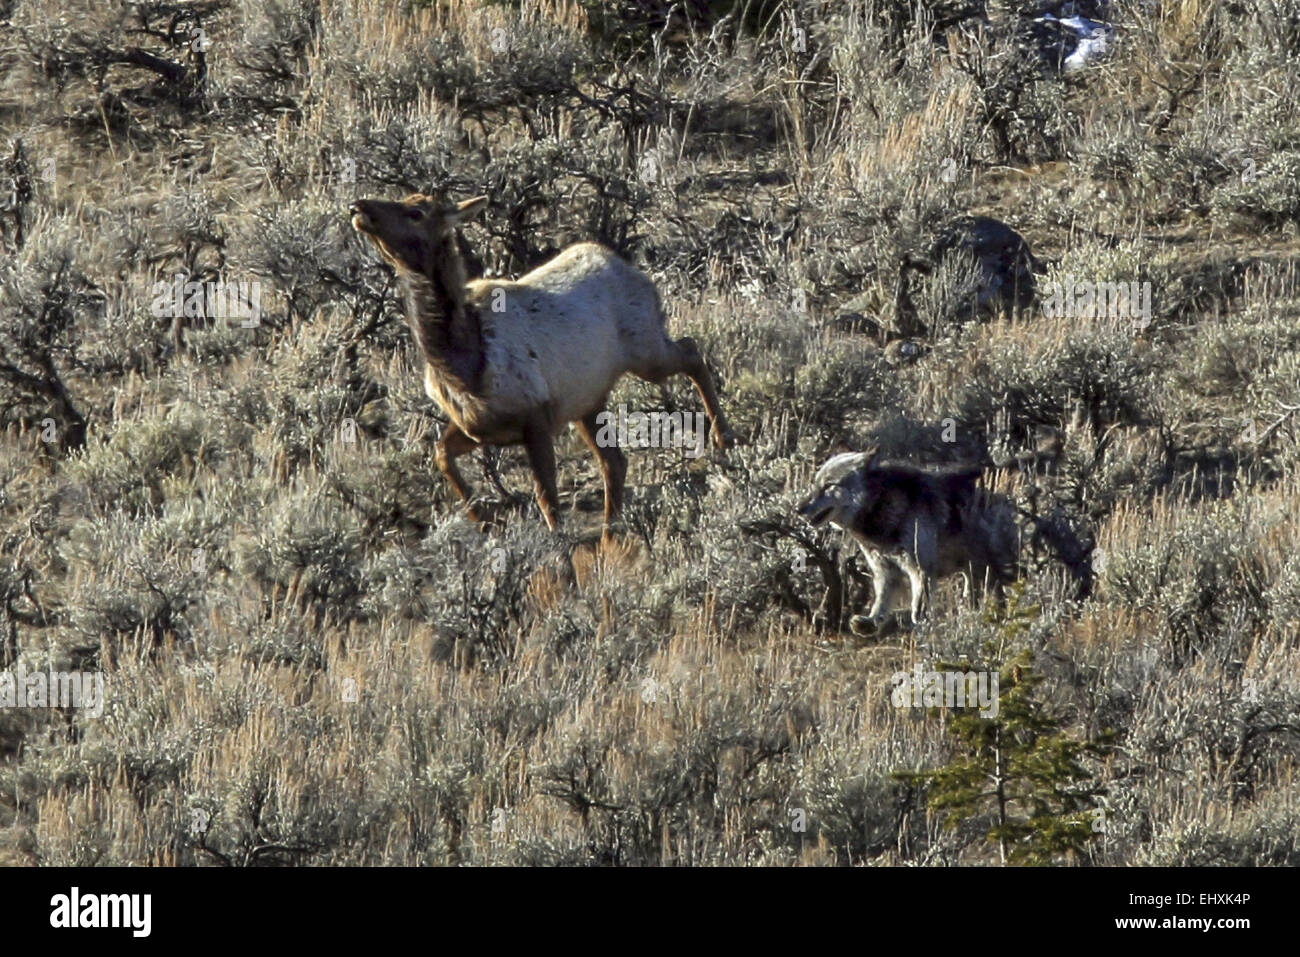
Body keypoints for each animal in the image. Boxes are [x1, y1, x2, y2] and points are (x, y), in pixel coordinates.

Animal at [796, 447, 1021, 630]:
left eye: (829, 485)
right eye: (815, 484)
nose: (798, 508)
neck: (880, 507)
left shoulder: (920, 569)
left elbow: (918, 608)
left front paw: (922, 628)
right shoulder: (885, 571)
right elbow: (881, 601)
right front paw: (870, 622)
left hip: (990, 566)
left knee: (1001, 589)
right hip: (971, 567)